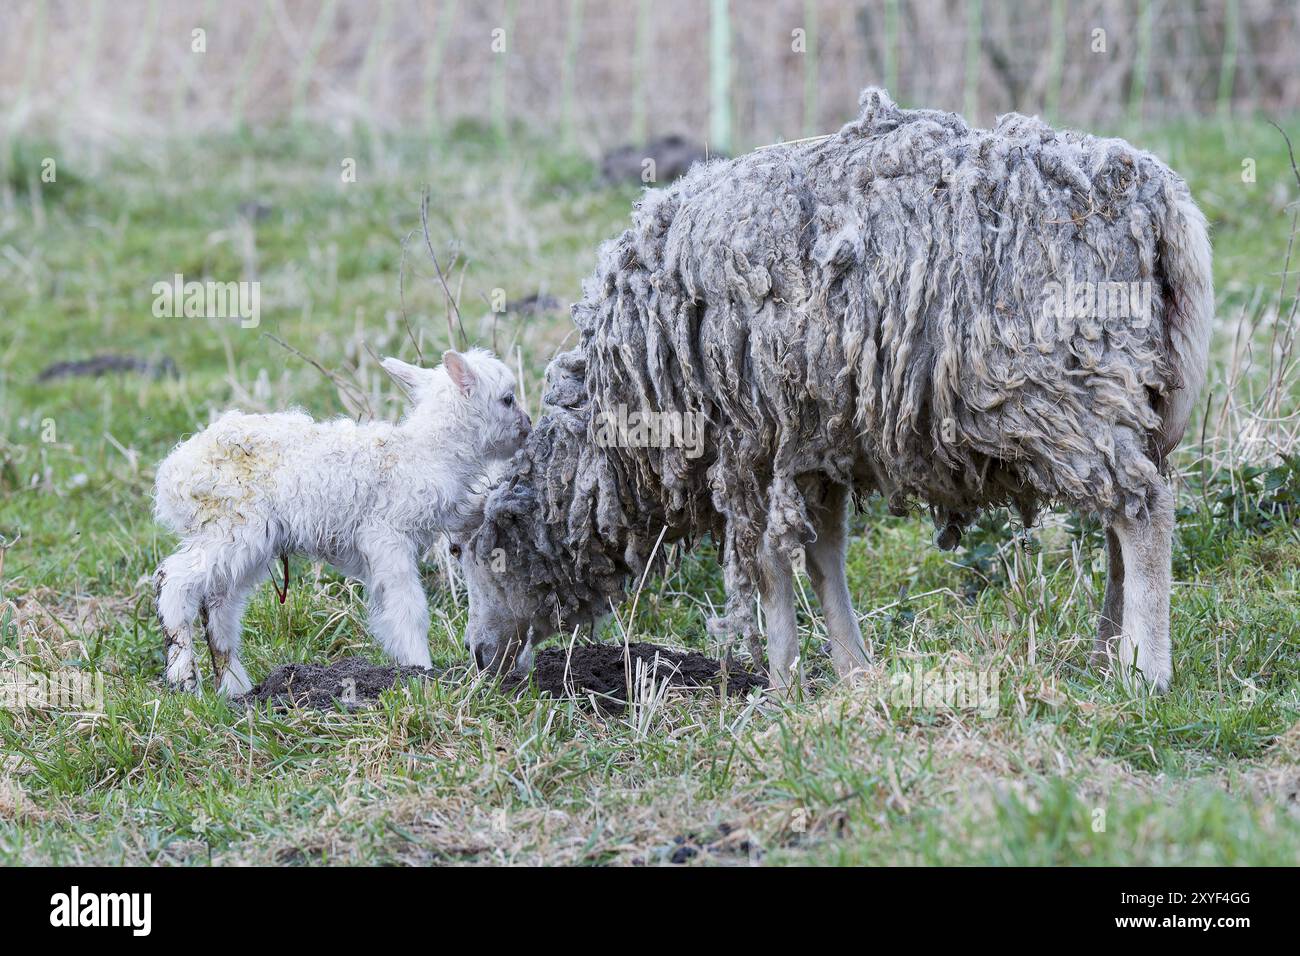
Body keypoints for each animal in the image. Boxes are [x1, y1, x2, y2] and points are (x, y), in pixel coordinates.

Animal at [153, 349, 531, 694]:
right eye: (507, 399)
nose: (527, 426)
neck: (428, 453)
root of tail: (172, 474)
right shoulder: (386, 535)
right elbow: (409, 606)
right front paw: (421, 671)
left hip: (246, 542)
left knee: (219, 604)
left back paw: (236, 688)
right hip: (232, 527)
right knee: (173, 578)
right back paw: (183, 676)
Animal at [454, 89, 1214, 693]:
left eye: (481, 555)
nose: (479, 657)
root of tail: (1159, 198)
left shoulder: (750, 443)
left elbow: (768, 564)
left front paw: (782, 679)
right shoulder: (814, 439)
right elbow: (823, 557)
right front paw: (852, 670)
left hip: (1060, 388)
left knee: (1144, 513)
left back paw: (1146, 671)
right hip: (1122, 394)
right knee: (1122, 518)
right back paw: (1106, 652)